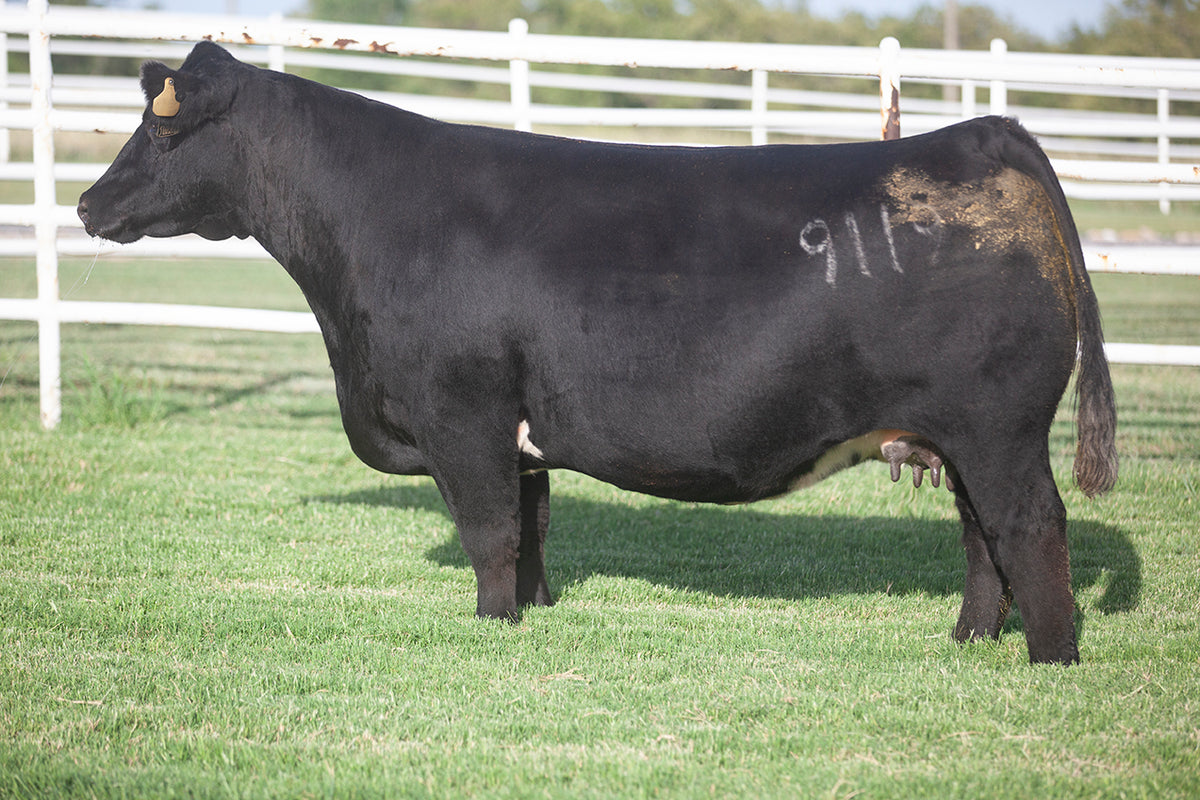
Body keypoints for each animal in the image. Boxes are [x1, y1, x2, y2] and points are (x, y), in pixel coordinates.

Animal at [77, 41, 1118, 665]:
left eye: (159, 131)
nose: (88, 204)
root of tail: (981, 134)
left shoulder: (462, 415)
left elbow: (490, 533)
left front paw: (490, 627)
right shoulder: (516, 430)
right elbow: (533, 528)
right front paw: (531, 617)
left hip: (997, 426)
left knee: (1029, 526)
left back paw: (1050, 658)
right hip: (956, 435)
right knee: (981, 535)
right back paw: (968, 640)